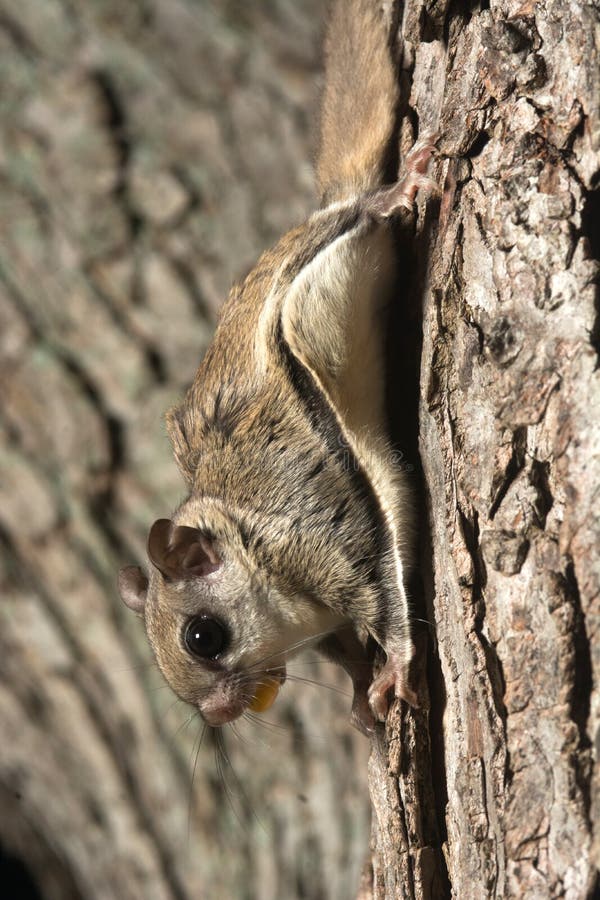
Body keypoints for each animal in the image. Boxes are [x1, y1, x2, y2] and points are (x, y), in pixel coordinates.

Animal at [118, 0, 436, 735]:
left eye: (203, 637)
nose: (218, 714)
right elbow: (348, 651)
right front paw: (360, 700)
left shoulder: (325, 541)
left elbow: (387, 593)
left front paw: (396, 668)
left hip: (331, 259)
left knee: (361, 212)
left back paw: (391, 192)